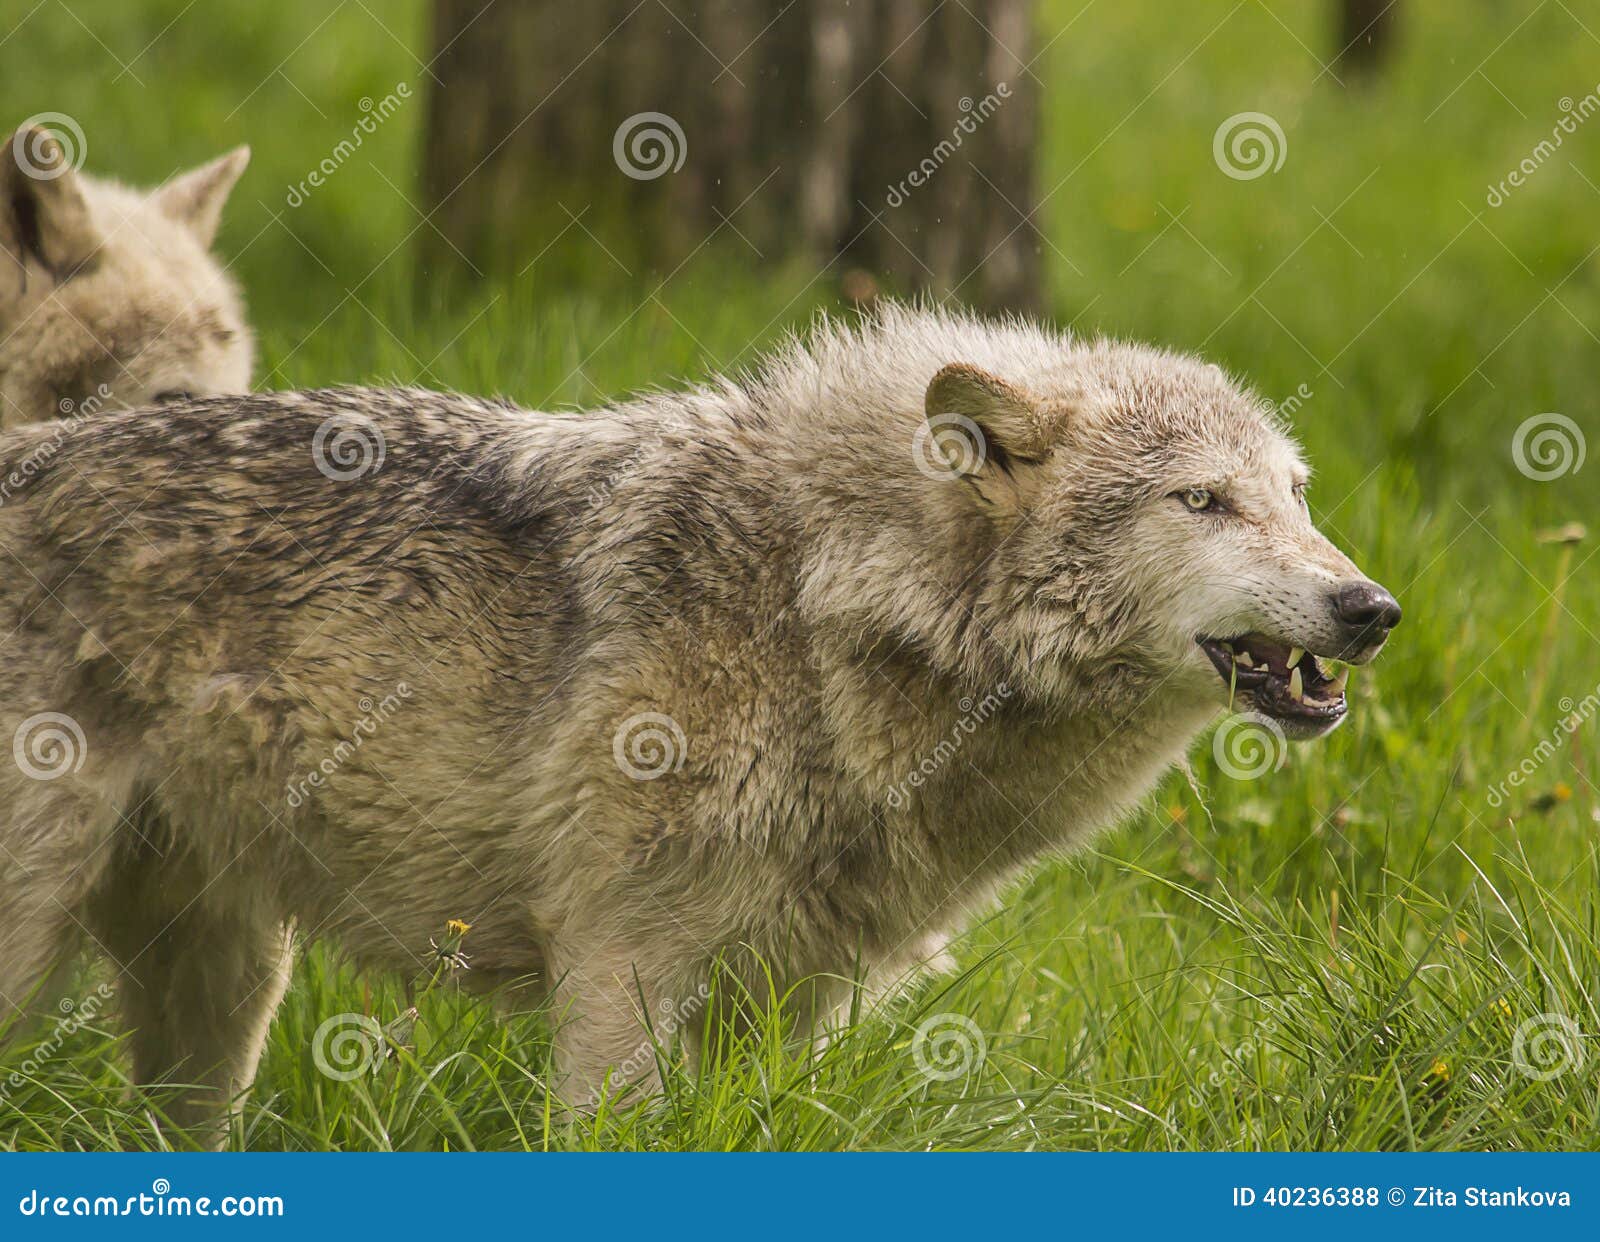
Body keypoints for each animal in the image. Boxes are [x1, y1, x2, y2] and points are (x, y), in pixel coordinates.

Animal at [0, 304, 1398, 1138]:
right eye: (1201, 501)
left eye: (1293, 495)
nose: (1371, 608)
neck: (827, 599)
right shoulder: (620, 968)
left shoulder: (787, 1002)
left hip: (224, 988)